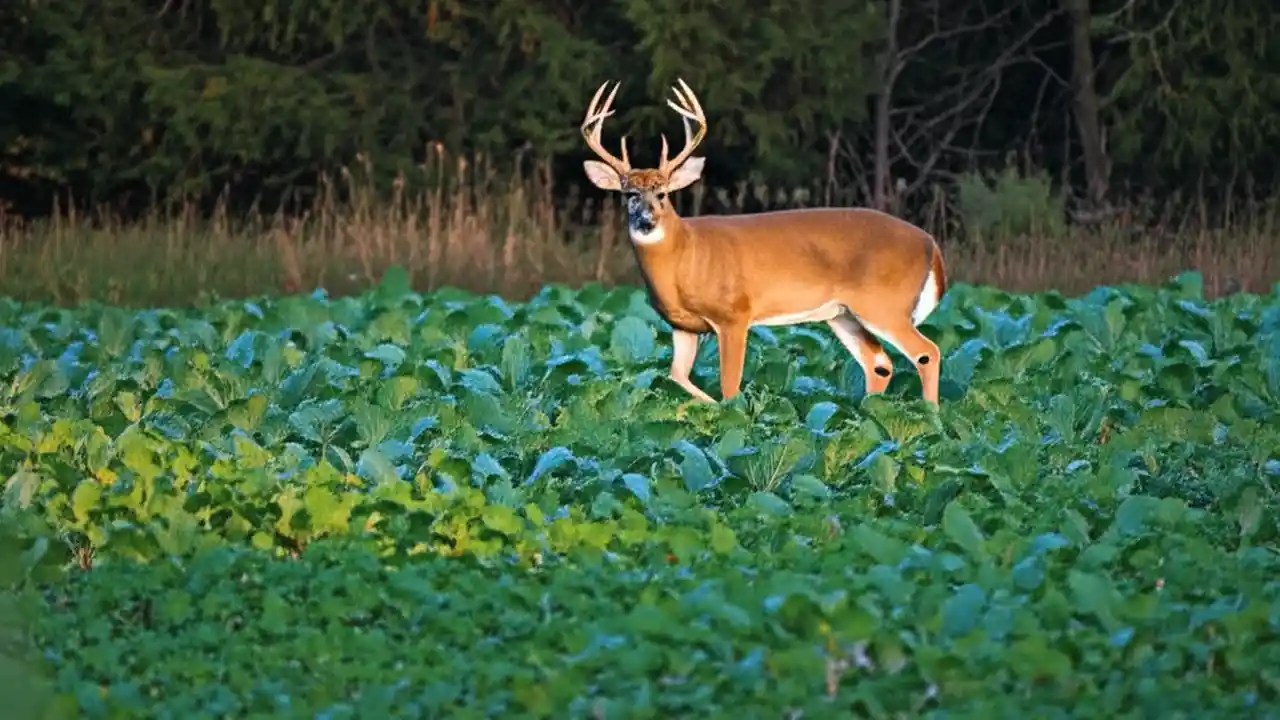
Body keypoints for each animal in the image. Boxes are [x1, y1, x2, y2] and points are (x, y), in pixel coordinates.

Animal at [579, 79, 948, 406]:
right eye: (629, 194)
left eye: (663, 194)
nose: (647, 221)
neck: (684, 256)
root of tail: (932, 245)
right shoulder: (682, 326)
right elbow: (678, 376)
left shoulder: (734, 314)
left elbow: (729, 388)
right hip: (842, 313)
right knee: (880, 364)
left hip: (885, 303)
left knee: (926, 352)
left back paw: (931, 418)